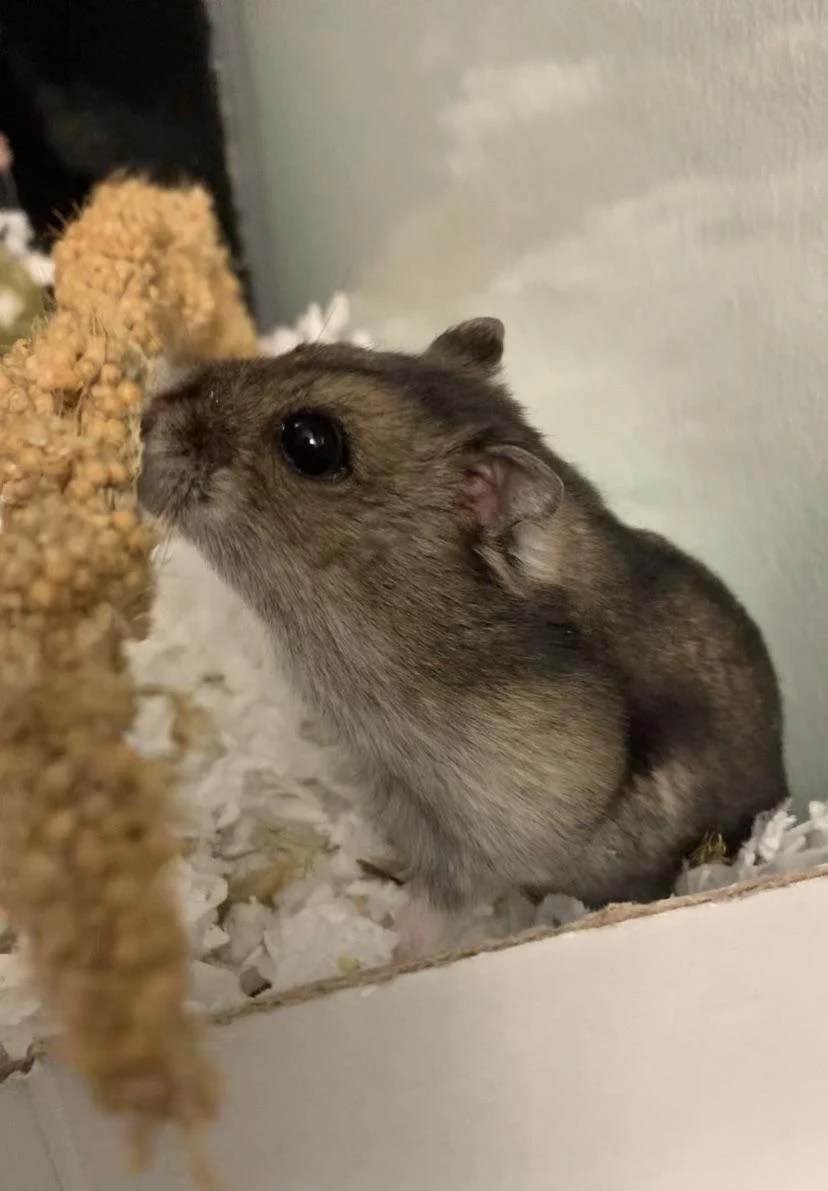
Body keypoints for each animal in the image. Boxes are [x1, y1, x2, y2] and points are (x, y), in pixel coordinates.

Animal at [138, 318, 789, 958]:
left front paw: (398, 950)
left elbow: (444, 889)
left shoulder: (487, 820)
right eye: (303, 348)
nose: (145, 419)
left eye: (311, 444)